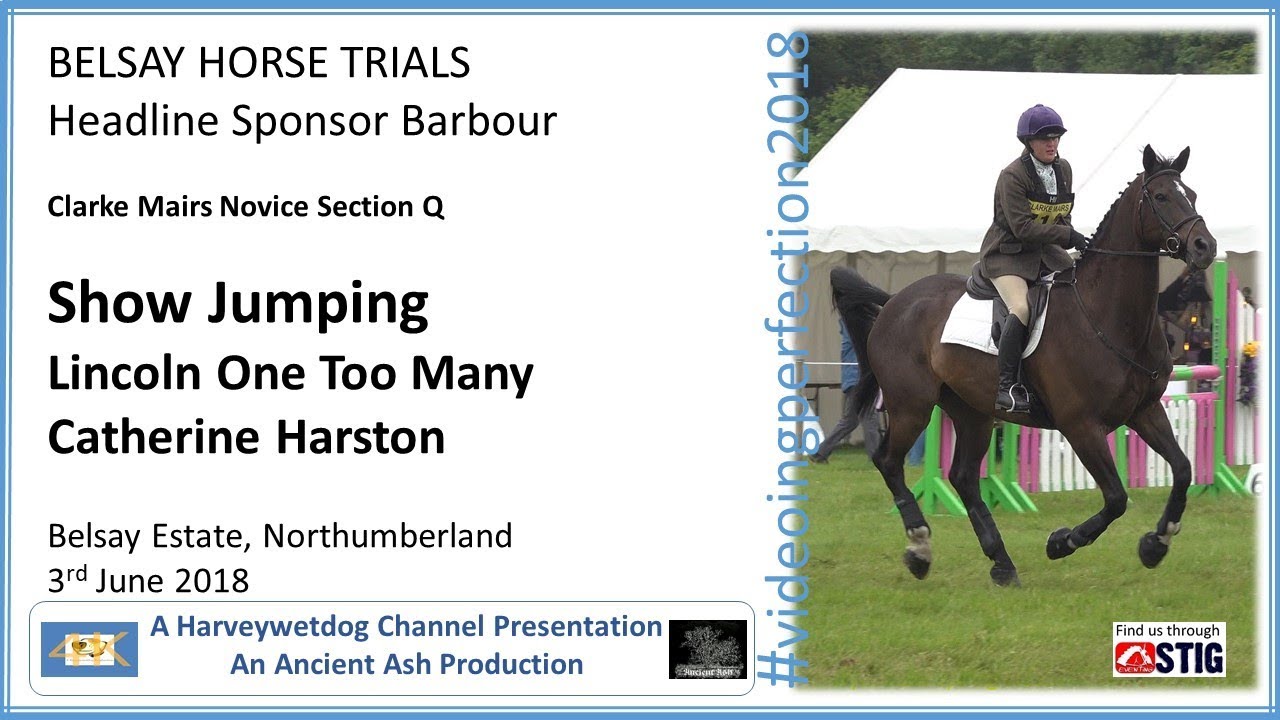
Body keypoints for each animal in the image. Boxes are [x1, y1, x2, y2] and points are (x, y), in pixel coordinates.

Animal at [831, 145, 1217, 587]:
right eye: (1162, 197)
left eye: (1192, 194)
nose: (1205, 247)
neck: (1108, 314)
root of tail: (894, 301)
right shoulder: (1081, 425)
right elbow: (1117, 498)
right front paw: (1062, 542)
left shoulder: (1145, 411)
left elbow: (1183, 470)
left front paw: (1156, 544)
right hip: (911, 405)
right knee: (889, 463)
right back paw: (920, 548)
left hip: (972, 411)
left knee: (963, 477)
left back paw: (1001, 563)